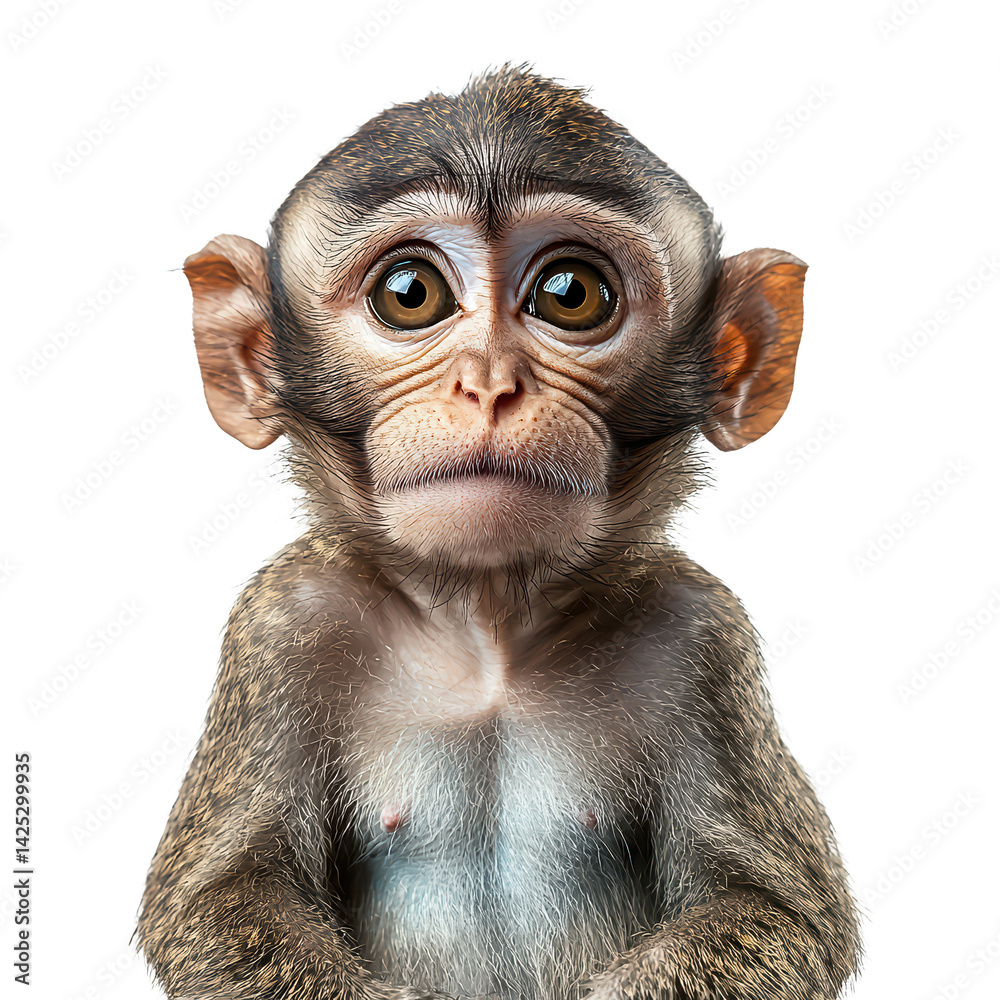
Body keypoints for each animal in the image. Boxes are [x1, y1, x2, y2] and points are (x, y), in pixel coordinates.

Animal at [138, 65, 862, 1000]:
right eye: (410, 294)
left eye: (570, 294)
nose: (487, 383)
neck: (485, 627)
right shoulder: (283, 623)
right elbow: (216, 900)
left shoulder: (704, 637)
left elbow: (780, 911)